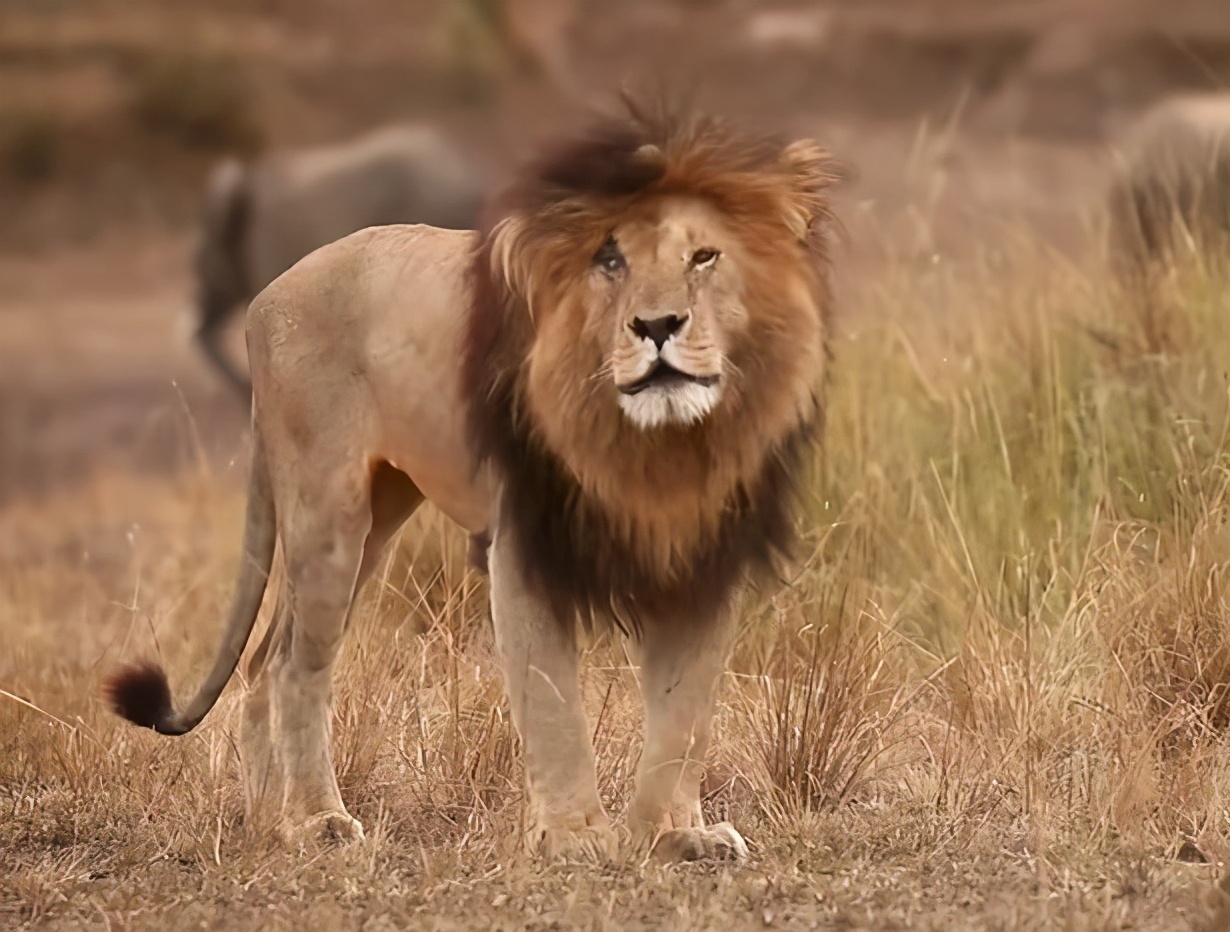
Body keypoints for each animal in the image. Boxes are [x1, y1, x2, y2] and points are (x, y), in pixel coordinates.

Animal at [105, 98, 838, 863]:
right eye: (609, 260)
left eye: (705, 256)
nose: (657, 325)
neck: (659, 446)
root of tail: (270, 294)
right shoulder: (522, 549)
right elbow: (553, 702)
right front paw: (578, 839)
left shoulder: (706, 557)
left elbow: (684, 712)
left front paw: (674, 833)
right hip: (328, 514)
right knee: (291, 666)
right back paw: (318, 821)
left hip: (379, 513)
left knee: (262, 660)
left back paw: (267, 820)